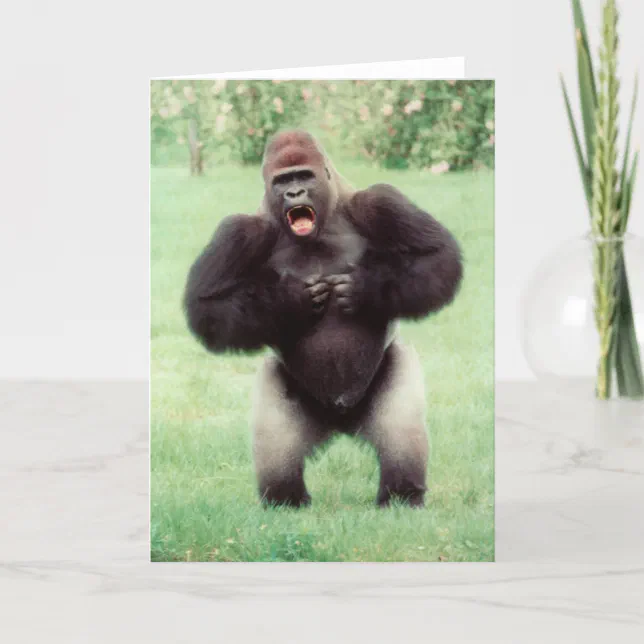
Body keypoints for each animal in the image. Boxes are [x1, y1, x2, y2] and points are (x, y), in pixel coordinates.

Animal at [184, 129, 463, 508]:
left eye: (303, 177)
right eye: (282, 181)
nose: (294, 194)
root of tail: (340, 420)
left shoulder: (379, 202)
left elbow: (439, 257)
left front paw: (366, 290)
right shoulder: (239, 232)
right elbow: (207, 307)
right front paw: (289, 303)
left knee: (400, 430)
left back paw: (402, 496)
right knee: (278, 450)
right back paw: (286, 500)